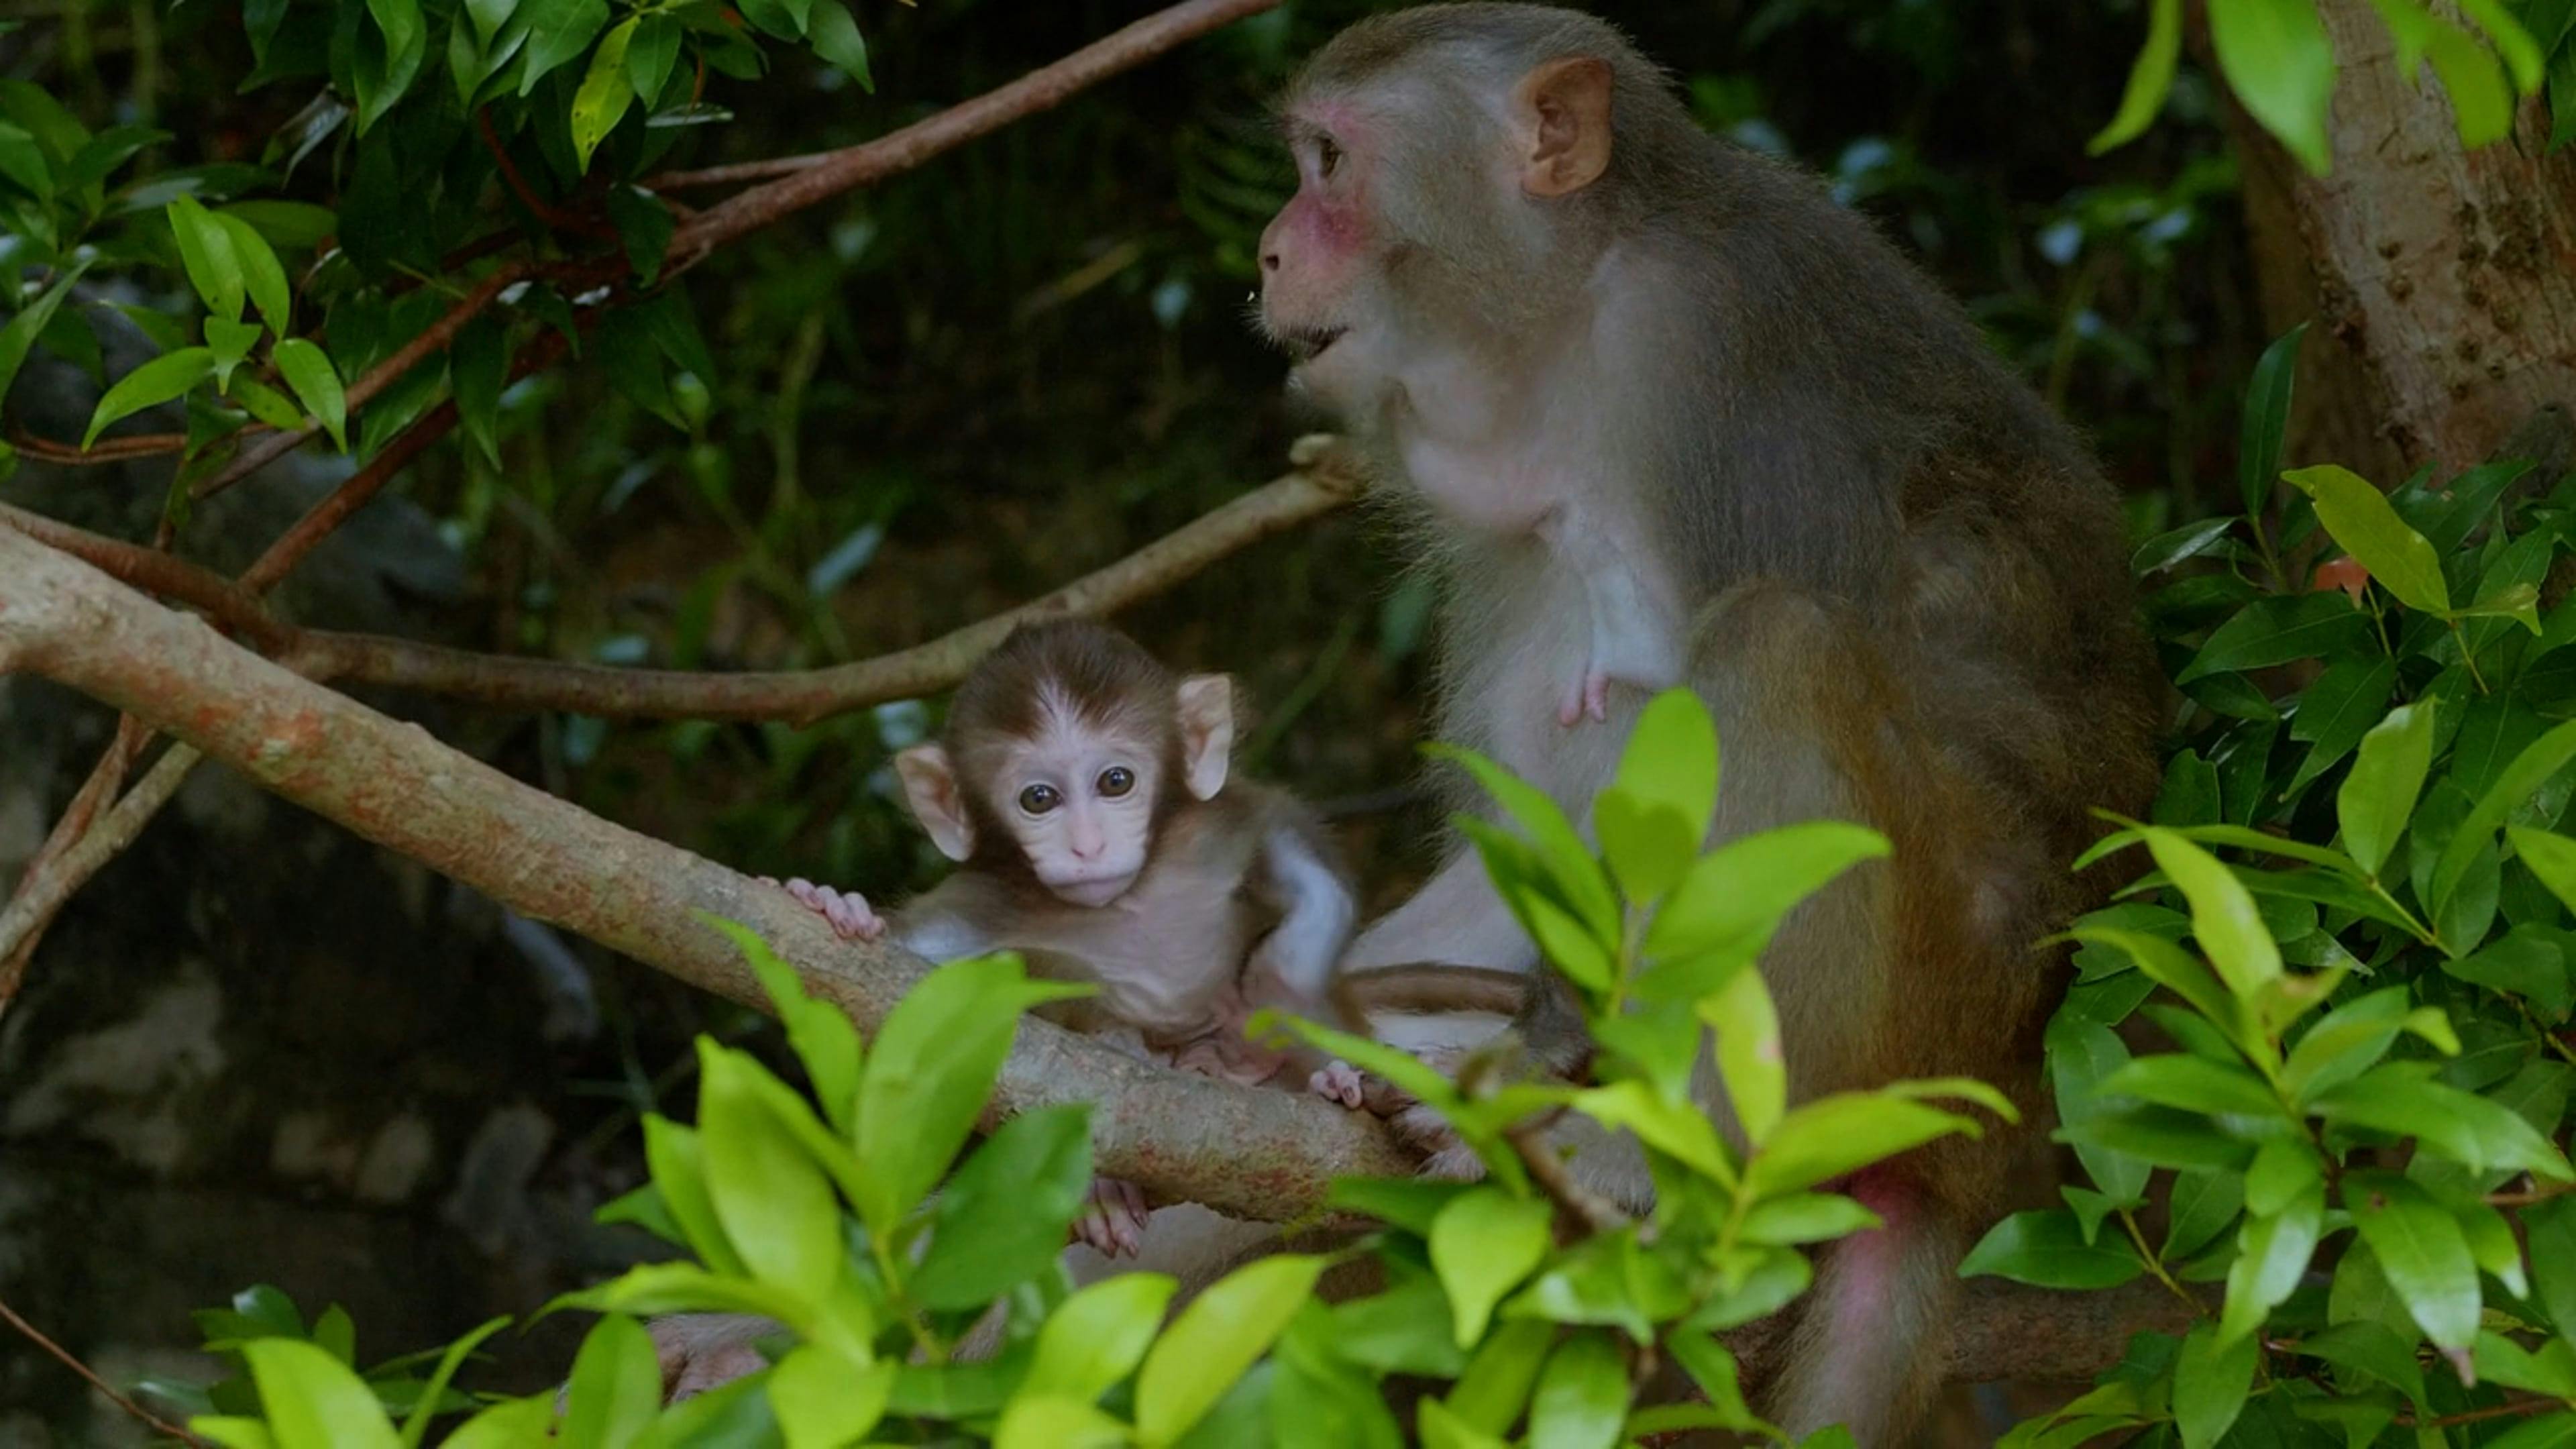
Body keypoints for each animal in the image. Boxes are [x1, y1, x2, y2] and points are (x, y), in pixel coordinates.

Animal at [1252, 5, 2164, 1441]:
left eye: (1331, 163)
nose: (1270, 251)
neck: (1567, 322)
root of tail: (2009, 1130)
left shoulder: (1719, 364)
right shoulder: (1508, 540)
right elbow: (1538, 840)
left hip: (1942, 1005)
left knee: (1779, 649)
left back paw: (1661, 1158)